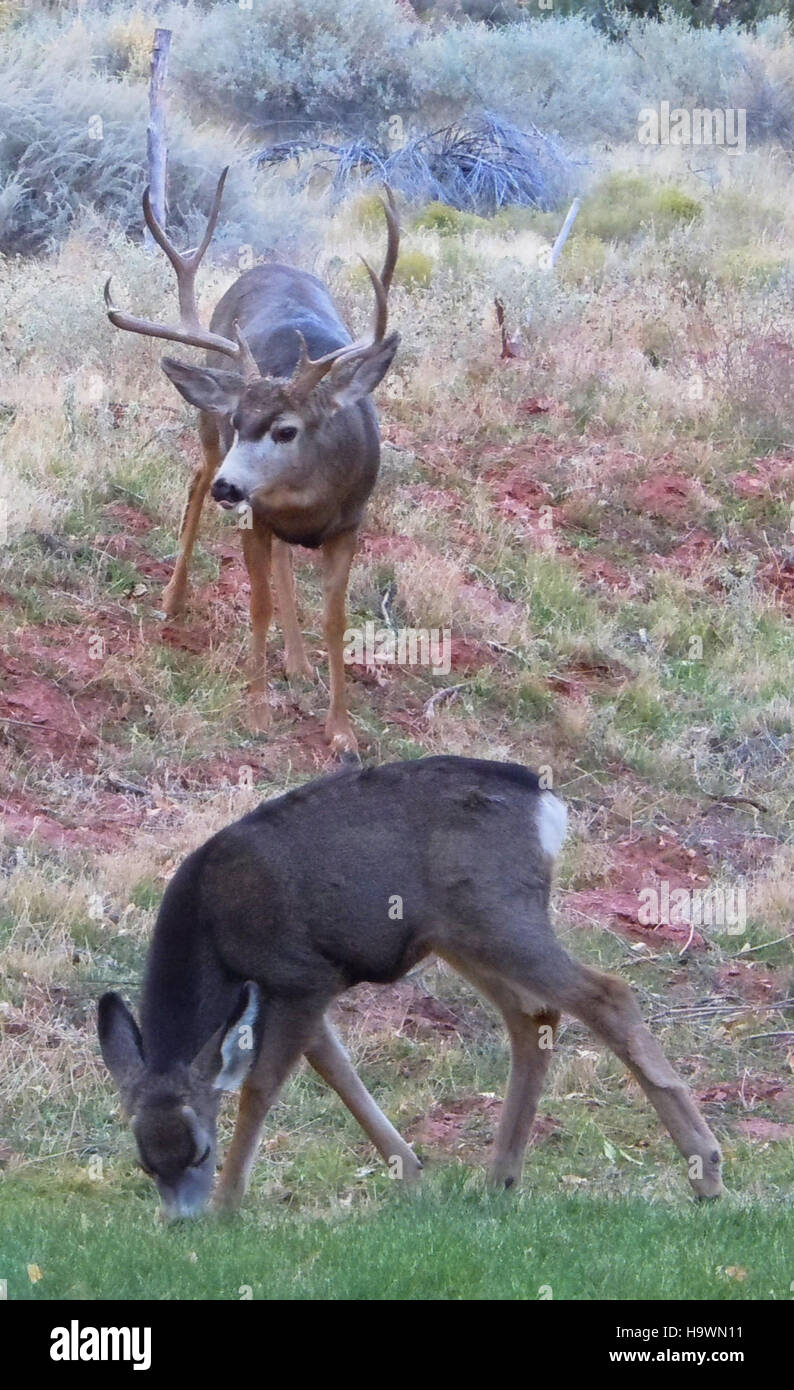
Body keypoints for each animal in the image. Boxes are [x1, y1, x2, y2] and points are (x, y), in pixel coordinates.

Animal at [97, 756, 724, 1221]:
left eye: (200, 1149)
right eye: (145, 1162)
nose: (180, 1221)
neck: (211, 935)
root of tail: (546, 804)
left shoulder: (300, 974)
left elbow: (261, 1086)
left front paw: (228, 1207)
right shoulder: (302, 986)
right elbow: (337, 1070)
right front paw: (412, 1174)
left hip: (498, 914)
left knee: (607, 993)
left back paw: (706, 1171)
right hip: (460, 933)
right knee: (535, 1016)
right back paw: (500, 1178)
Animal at [104, 168, 400, 753]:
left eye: (287, 430)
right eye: (239, 420)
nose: (231, 488)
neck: (307, 502)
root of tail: (271, 265)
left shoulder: (349, 525)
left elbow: (335, 620)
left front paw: (341, 729)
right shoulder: (253, 516)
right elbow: (258, 603)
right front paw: (259, 712)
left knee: (281, 554)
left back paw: (299, 663)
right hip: (206, 435)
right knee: (195, 481)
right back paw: (175, 597)